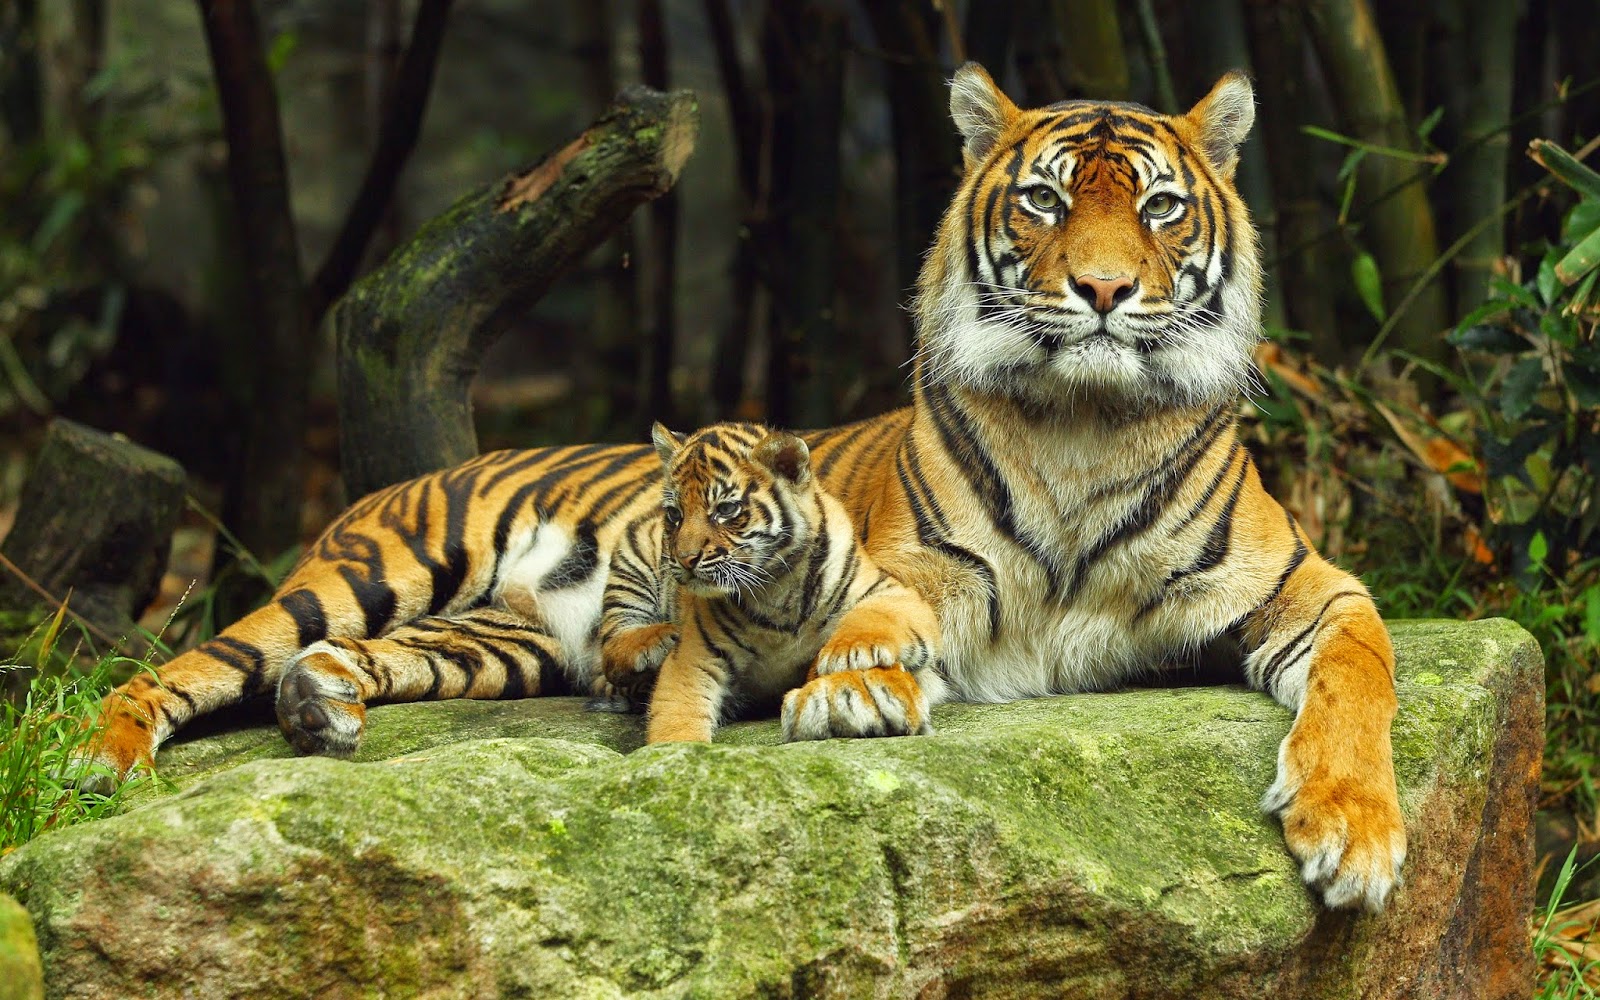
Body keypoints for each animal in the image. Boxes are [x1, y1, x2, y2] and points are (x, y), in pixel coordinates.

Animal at [640, 421, 938, 744]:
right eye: (675, 514)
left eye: (725, 510)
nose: (685, 559)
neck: (776, 587)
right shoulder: (695, 658)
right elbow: (677, 716)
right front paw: (677, 750)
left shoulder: (893, 591)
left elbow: (874, 617)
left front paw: (846, 654)